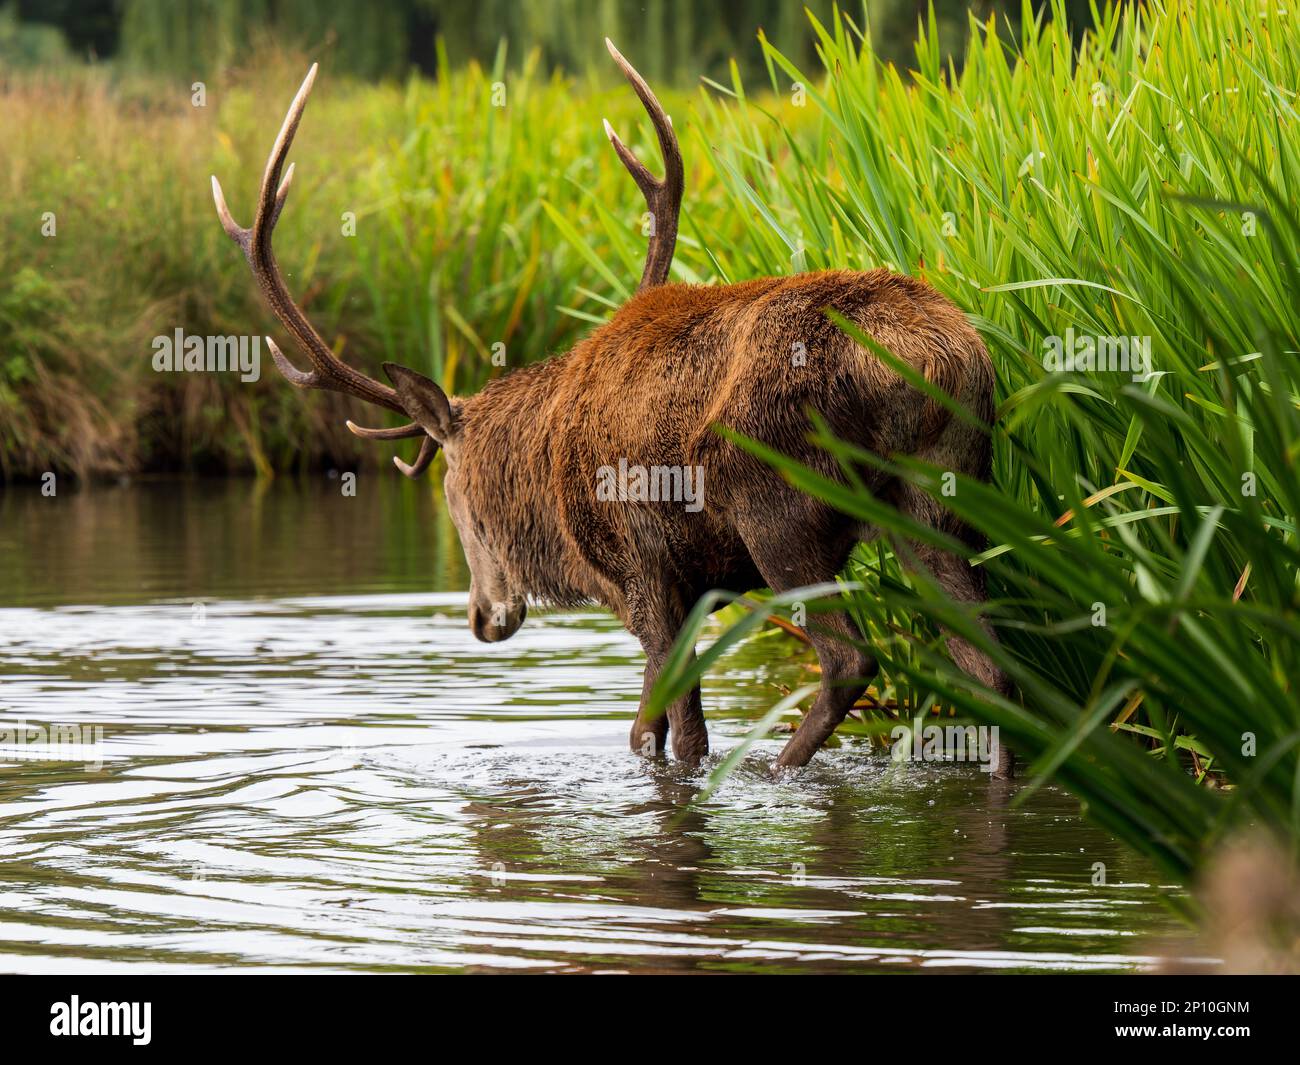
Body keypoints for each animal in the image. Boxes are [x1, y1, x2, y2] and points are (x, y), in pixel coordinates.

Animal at [211, 40, 1014, 779]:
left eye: (454, 500)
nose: (480, 618)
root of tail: (932, 354)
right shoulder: (689, 586)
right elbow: (647, 729)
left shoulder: (644, 573)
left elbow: (669, 736)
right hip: (939, 493)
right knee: (991, 664)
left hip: (781, 508)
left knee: (851, 660)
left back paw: (778, 770)